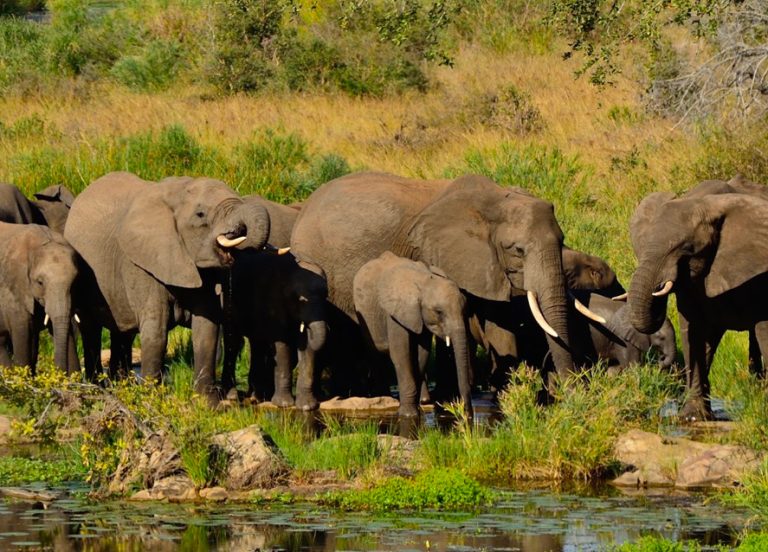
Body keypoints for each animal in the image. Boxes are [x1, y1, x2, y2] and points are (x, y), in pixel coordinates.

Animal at [63, 172, 271, 399]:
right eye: (200, 214)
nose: (237, 231)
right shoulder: (143, 265)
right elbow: (156, 331)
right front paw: (151, 396)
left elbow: (206, 329)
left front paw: (206, 401)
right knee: (91, 329)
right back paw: (99, 386)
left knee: (124, 331)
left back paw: (121, 384)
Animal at [220, 252, 328, 409]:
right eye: (301, 300)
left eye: (326, 296)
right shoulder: (274, 302)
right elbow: (282, 344)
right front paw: (284, 404)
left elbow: (306, 346)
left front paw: (307, 407)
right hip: (228, 300)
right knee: (233, 341)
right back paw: (241, 395)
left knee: (256, 344)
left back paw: (257, 395)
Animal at [354, 252, 470, 417]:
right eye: (439, 312)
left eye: (464, 310)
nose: (466, 413)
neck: (424, 281)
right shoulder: (394, 313)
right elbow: (401, 355)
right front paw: (408, 414)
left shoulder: (421, 316)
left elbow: (422, 354)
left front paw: (417, 408)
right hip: (365, 318)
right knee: (376, 355)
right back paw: (383, 397)